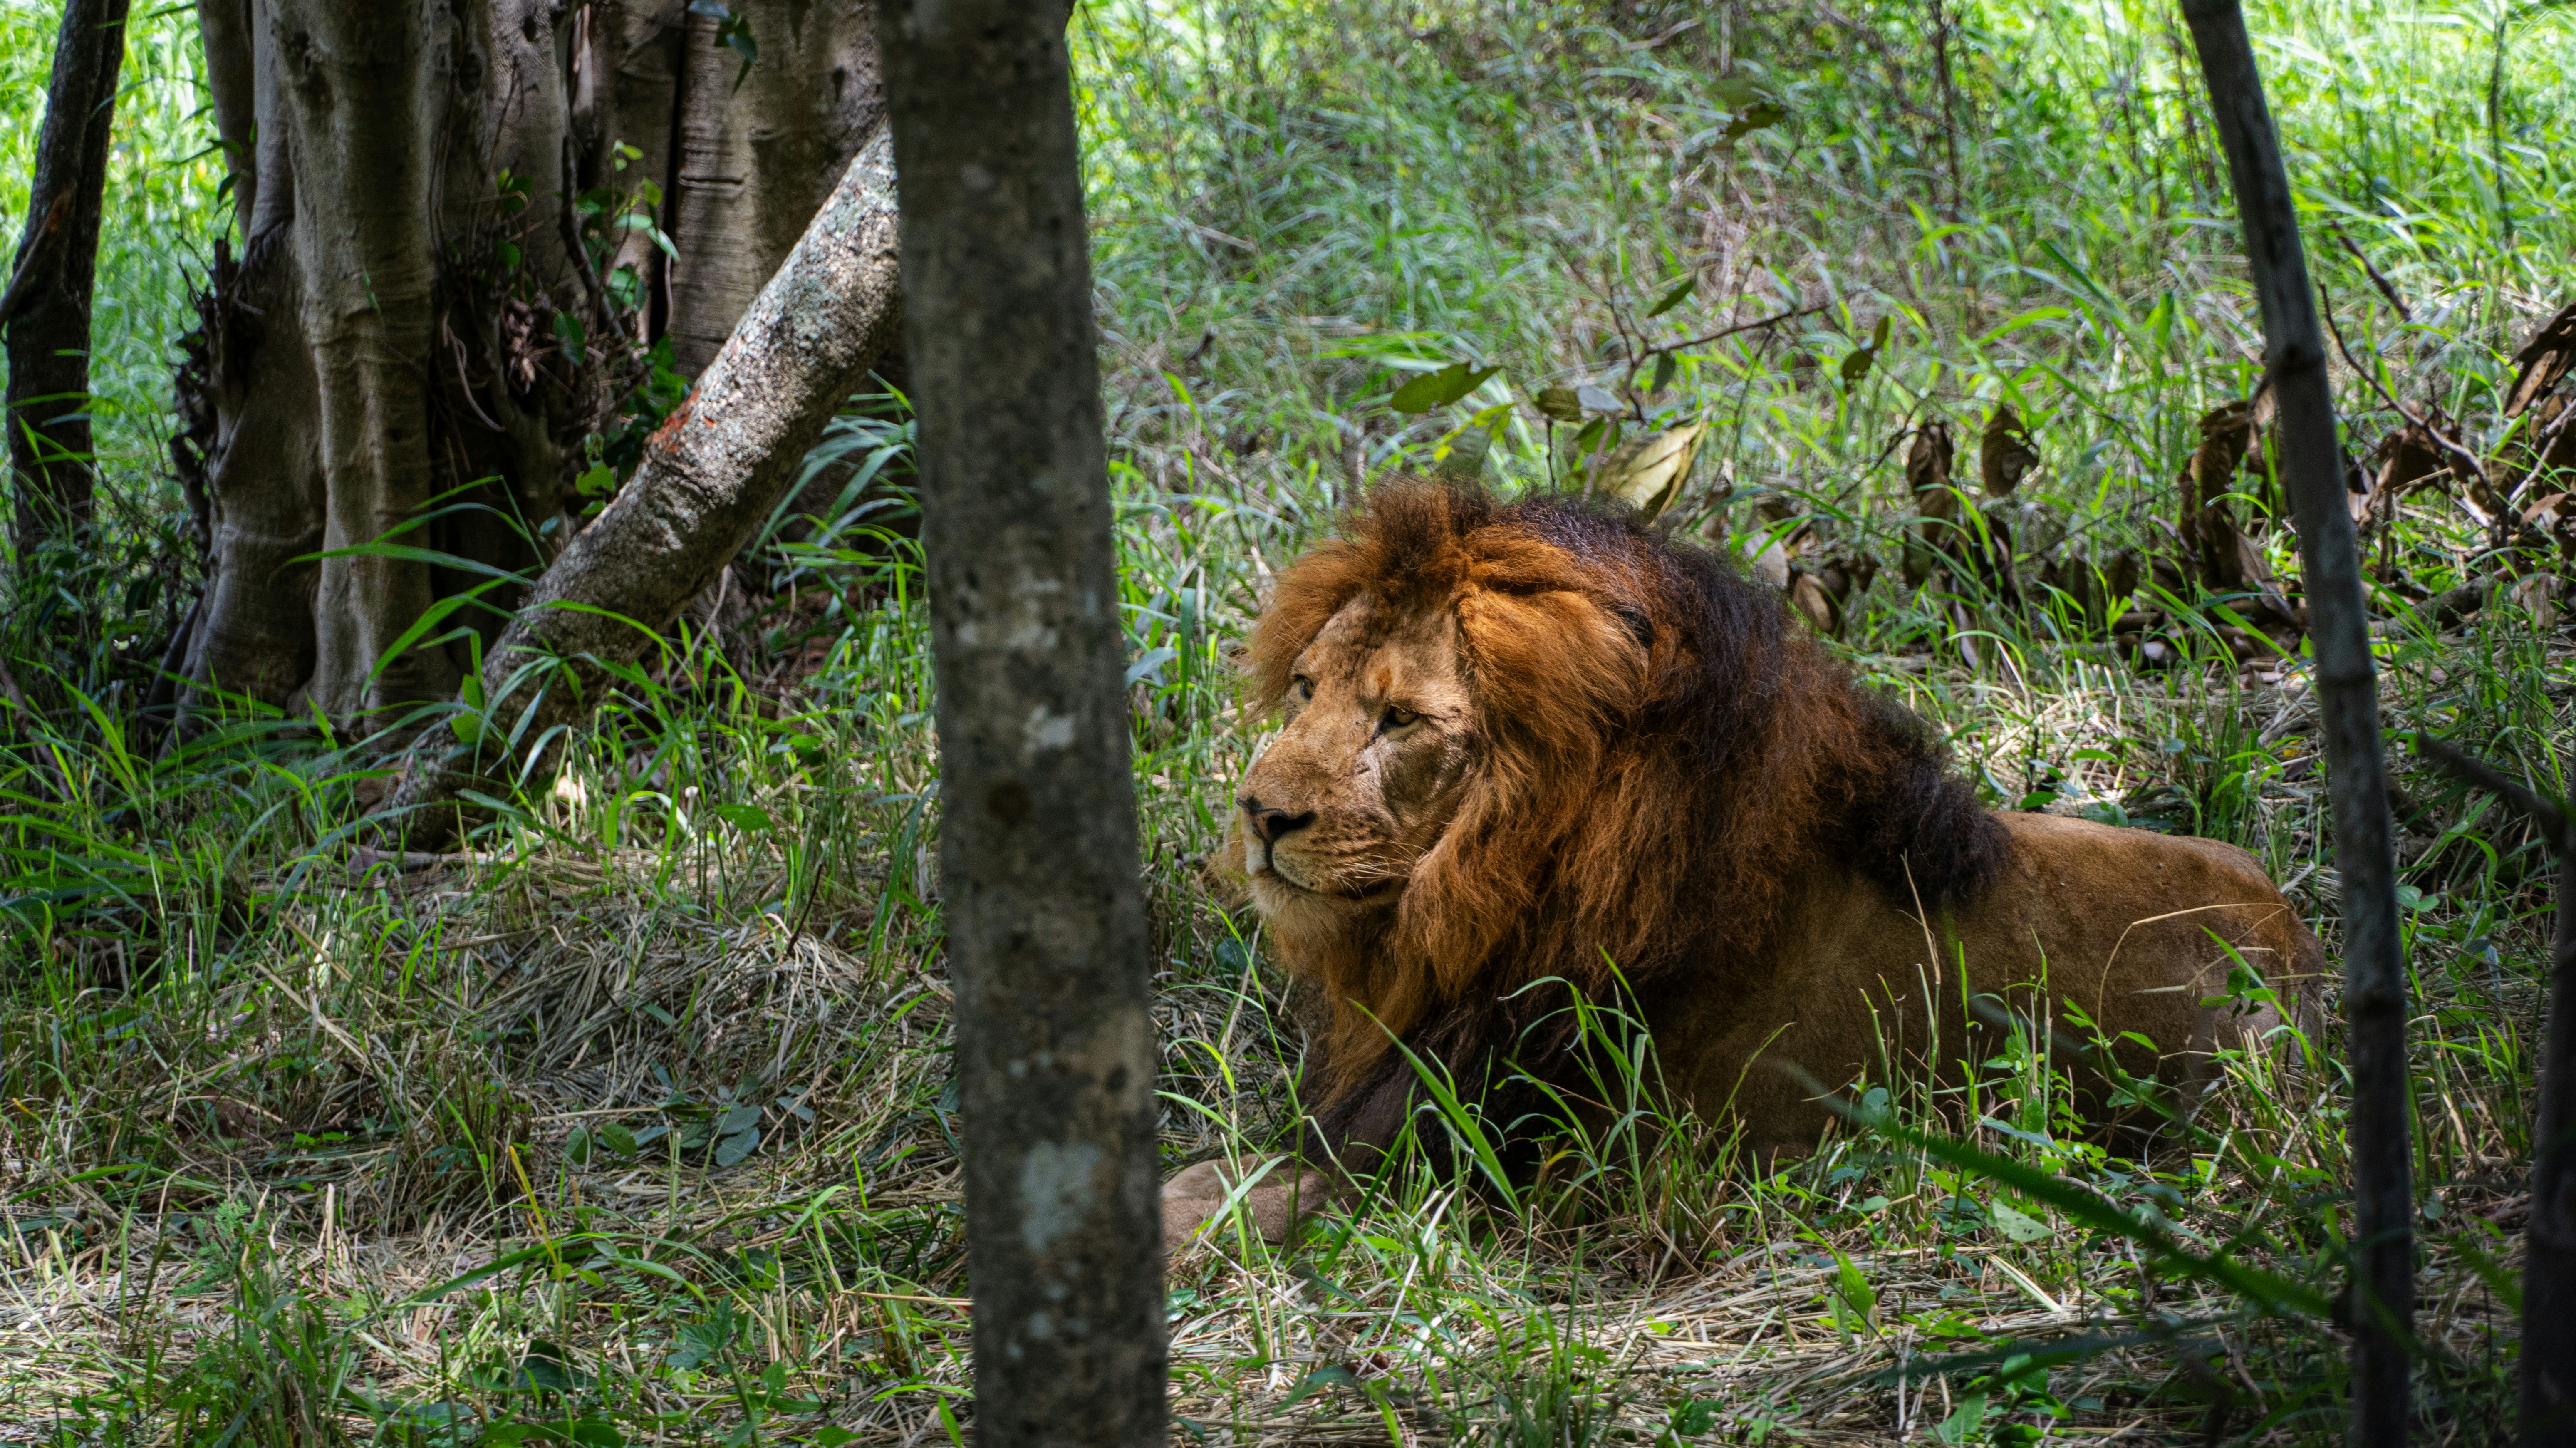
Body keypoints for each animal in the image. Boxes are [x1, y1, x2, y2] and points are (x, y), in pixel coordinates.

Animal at [1161, 478, 2320, 1251]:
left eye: (1400, 719)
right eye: (1305, 688)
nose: (1259, 814)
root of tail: (2303, 944)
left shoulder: (1472, 1163)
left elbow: (1225, 1200)